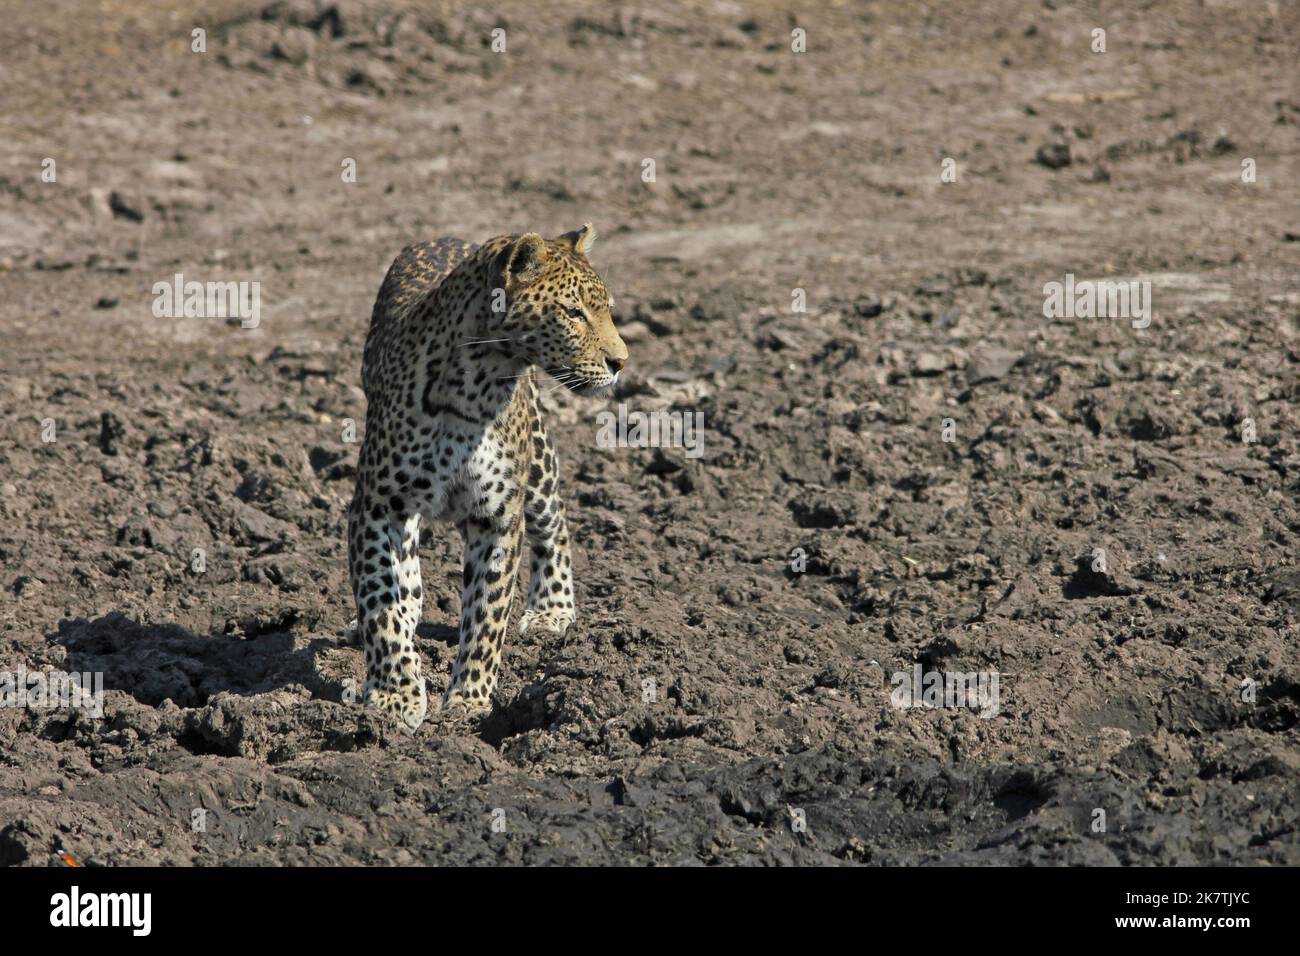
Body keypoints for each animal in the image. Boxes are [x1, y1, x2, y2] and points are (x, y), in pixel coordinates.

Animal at [346, 223, 627, 730]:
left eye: (606, 311)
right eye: (574, 312)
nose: (622, 362)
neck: (474, 387)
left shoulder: (497, 517)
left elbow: (487, 613)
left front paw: (468, 702)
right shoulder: (375, 506)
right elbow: (381, 601)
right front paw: (395, 694)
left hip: (538, 464)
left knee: (554, 524)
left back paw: (552, 611)